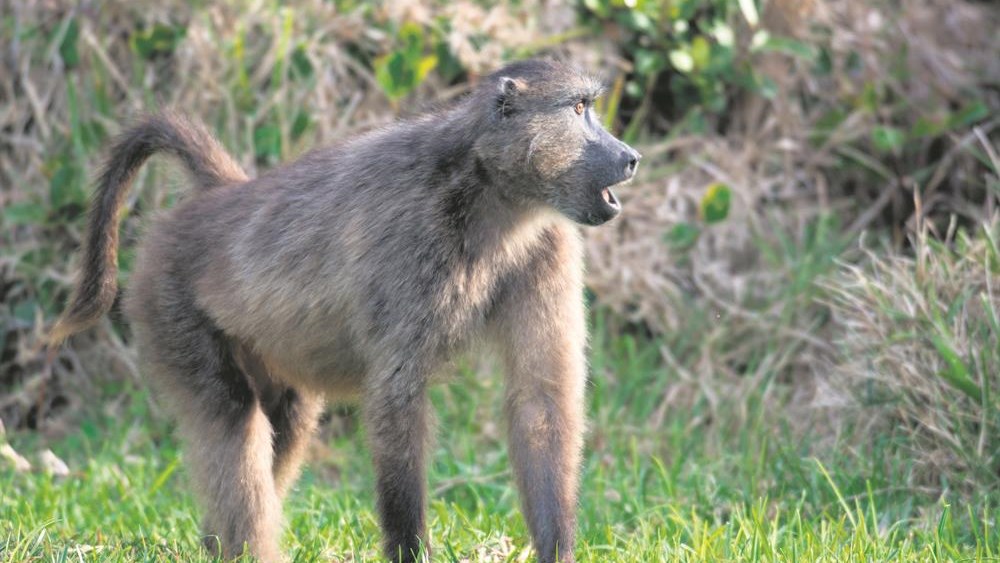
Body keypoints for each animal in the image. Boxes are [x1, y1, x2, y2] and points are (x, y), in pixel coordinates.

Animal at [52, 59, 640, 563]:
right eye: (579, 109)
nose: (630, 157)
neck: (491, 190)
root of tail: (220, 198)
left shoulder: (551, 244)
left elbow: (541, 399)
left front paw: (557, 551)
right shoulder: (411, 238)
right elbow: (397, 399)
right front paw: (409, 554)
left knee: (286, 421)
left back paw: (213, 546)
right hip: (167, 304)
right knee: (233, 422)